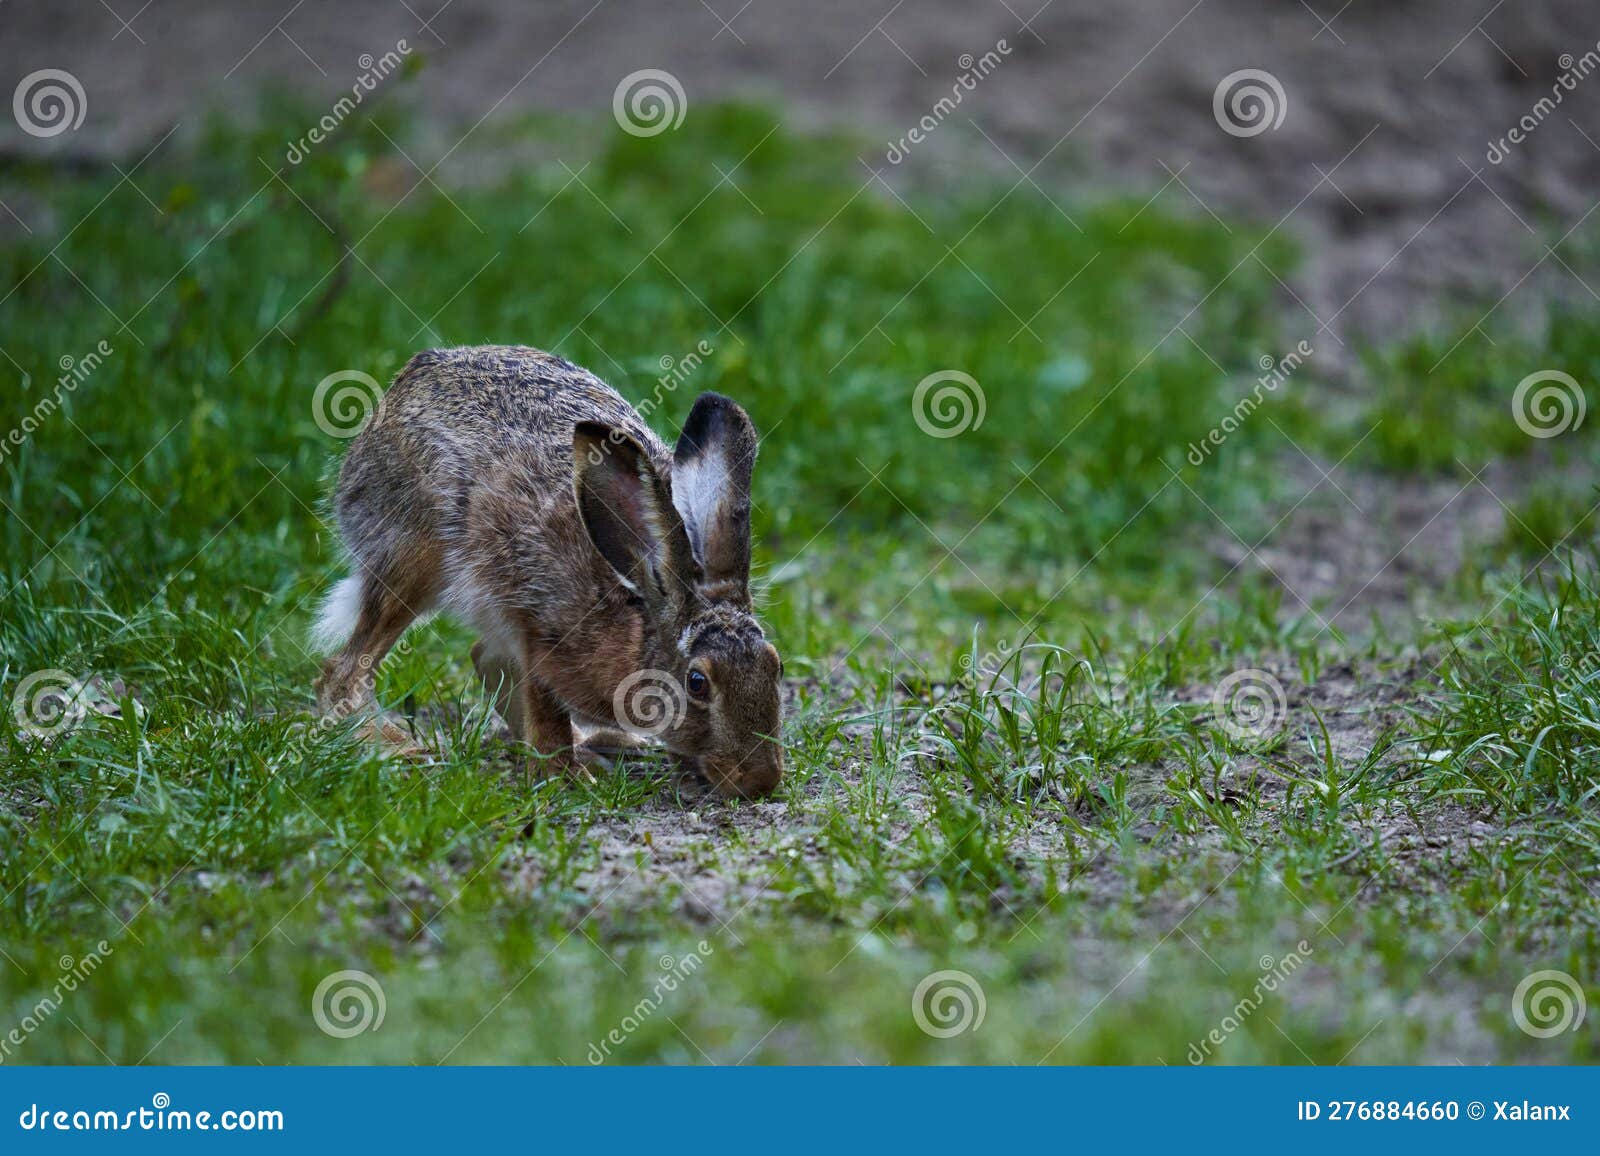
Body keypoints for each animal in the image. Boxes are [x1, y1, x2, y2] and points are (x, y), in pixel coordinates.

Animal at [310, 345, 784, 798]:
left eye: (775, 666)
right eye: (697, 682)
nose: (761, 782)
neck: (639, 611)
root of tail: (399, 390)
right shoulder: (536, 623)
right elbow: (544, 702)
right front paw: (564, 776)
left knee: (482, 656)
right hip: (413, 562)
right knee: (344, 672)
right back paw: (399, 747)